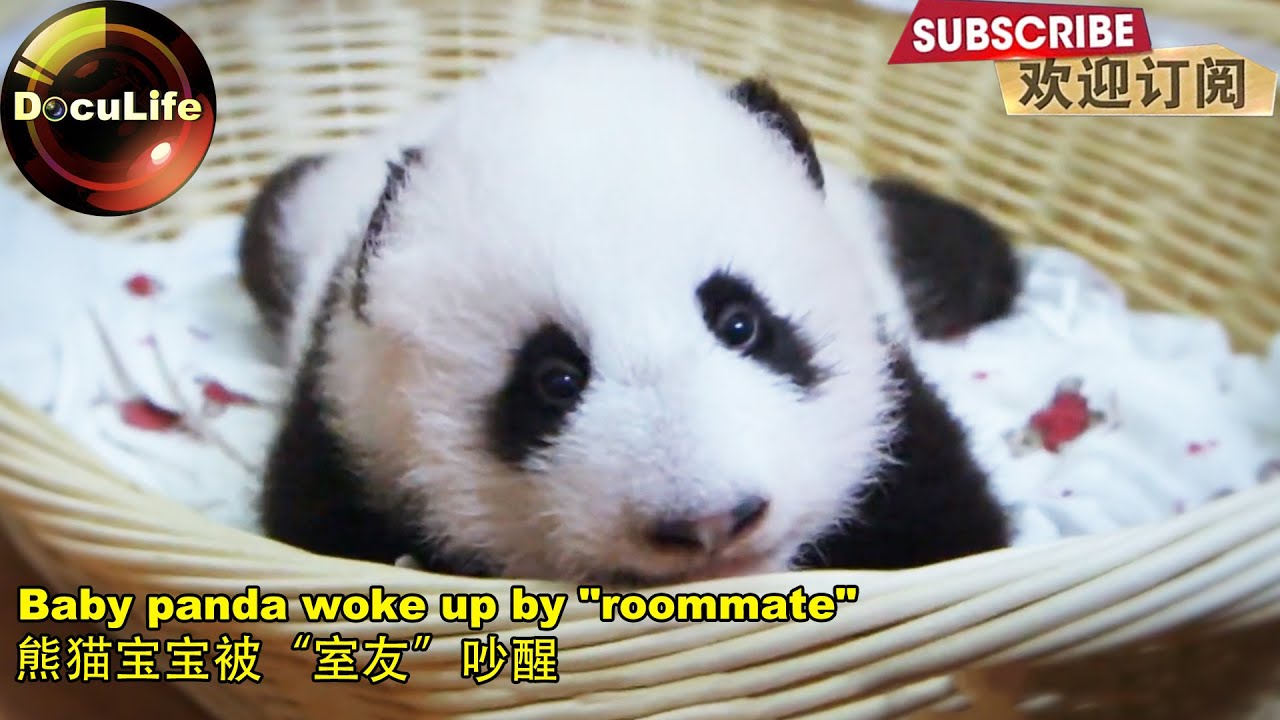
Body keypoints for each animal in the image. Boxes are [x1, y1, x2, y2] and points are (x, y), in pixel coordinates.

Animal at [237, 37, 1020, 587]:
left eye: (743, 324)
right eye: (555, 379)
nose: (712, 521)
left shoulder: (892, 410)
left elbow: (949, 528)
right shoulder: (353, 426)